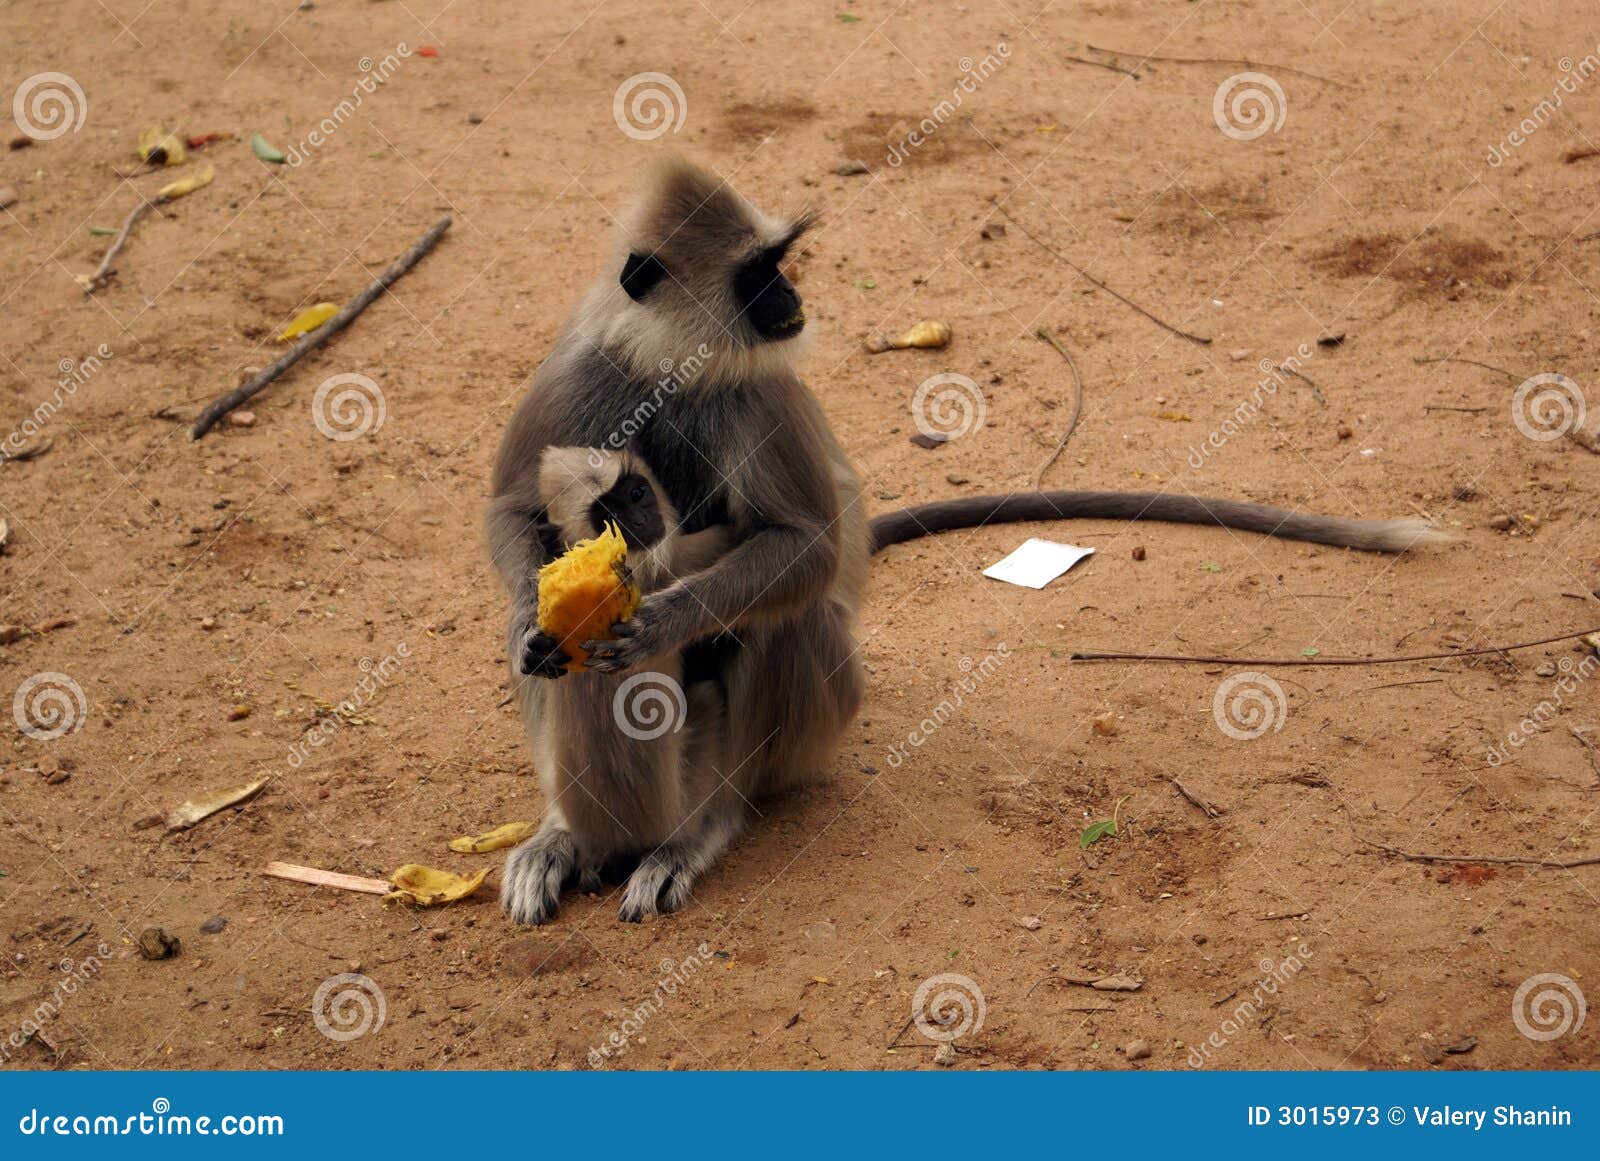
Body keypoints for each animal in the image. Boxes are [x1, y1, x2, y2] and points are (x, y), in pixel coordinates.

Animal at [487, 156, 1441, 925]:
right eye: (758, 274)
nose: (791, 300)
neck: (672, 365)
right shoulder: (581, 368)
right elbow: (512, 517)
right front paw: (541, 616)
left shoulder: (757, 390)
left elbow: (807, 548)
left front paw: (661, 617)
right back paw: (574, 834)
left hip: (817, 723)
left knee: (794, 617)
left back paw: (701, 827)